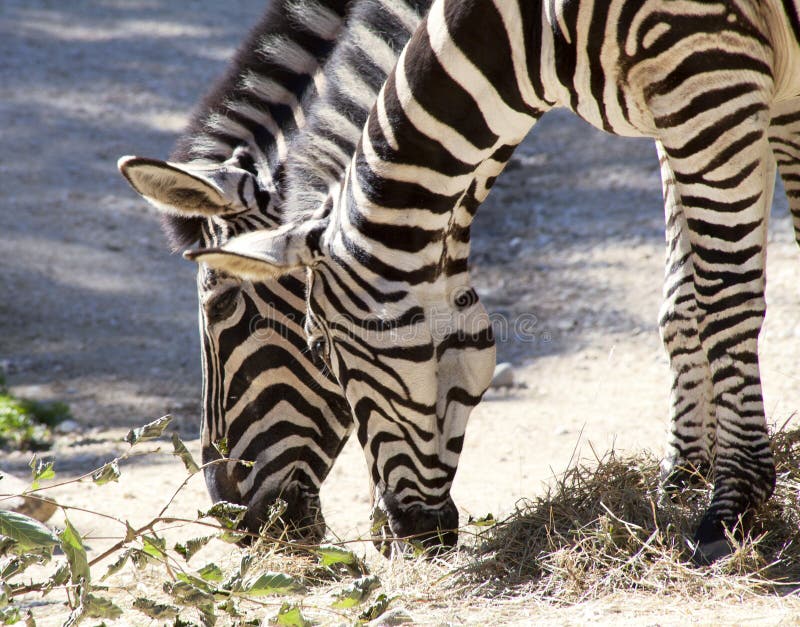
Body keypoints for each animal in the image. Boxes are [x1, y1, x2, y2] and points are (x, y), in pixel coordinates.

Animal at [187, 0, 800, 562]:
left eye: (318, 346)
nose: (230, 515)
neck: (527, 30)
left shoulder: (707, 77)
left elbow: (723, 296)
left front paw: (732, 504)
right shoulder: (702, 105)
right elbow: (683, 296)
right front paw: (683, 477)